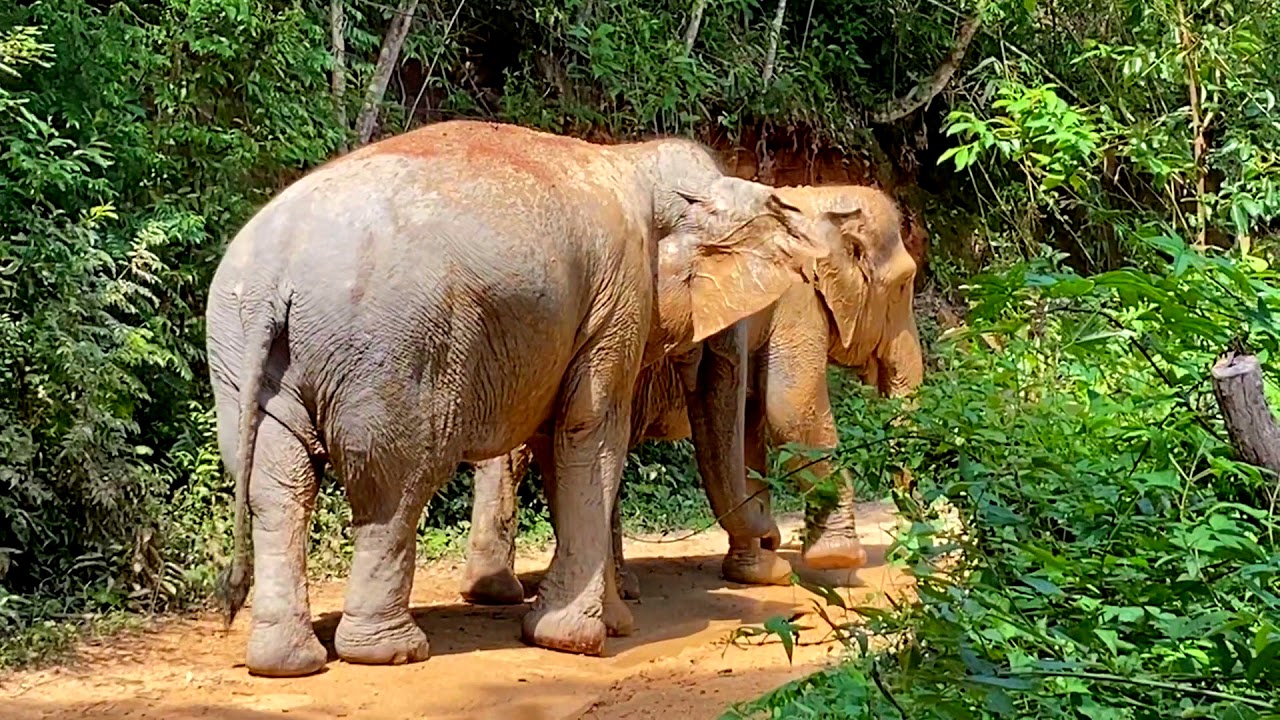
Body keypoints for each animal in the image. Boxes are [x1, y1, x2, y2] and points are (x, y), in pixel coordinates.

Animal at [204, 119, 854, 678]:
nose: (773, 550)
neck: (635, 160)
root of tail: (275, 274)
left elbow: (557, 442)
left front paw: (608, 622)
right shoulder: (617, 295)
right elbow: (590, 435)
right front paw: (579, 638)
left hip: (240, 353)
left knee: (277, 489)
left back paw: (286, 662)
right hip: (390, 353)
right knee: (395, 487)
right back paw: (390, 652)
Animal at [459, 184, 924, 606]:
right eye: (905, 285)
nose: (912, 542)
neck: (818, 197)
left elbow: (751, 430)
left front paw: (761, 562)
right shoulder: (797, 304)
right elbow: (792, 415)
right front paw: (837, 561)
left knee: (508, 459)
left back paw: (495, 591)